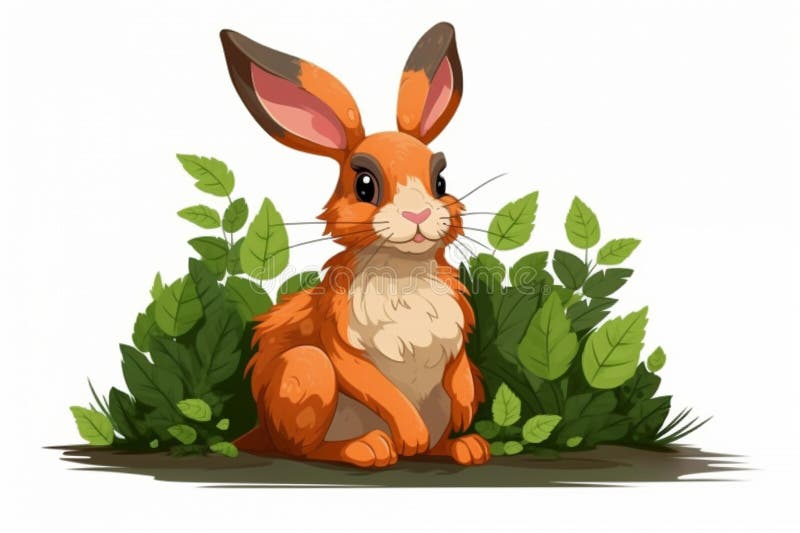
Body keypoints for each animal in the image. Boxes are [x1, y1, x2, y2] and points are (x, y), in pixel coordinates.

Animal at [222, 22, 489, 467]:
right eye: (365, 185)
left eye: (440, 182)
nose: (418, 215)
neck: (403, 272)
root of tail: (261, 431)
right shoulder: (340, 341)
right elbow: (377, 387)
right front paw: (409, 436)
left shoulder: (456, 339)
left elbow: (461, 370)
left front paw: (466, 408)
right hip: (308, 371)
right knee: (303, 450)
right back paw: (369, 448)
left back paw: (466, 447)